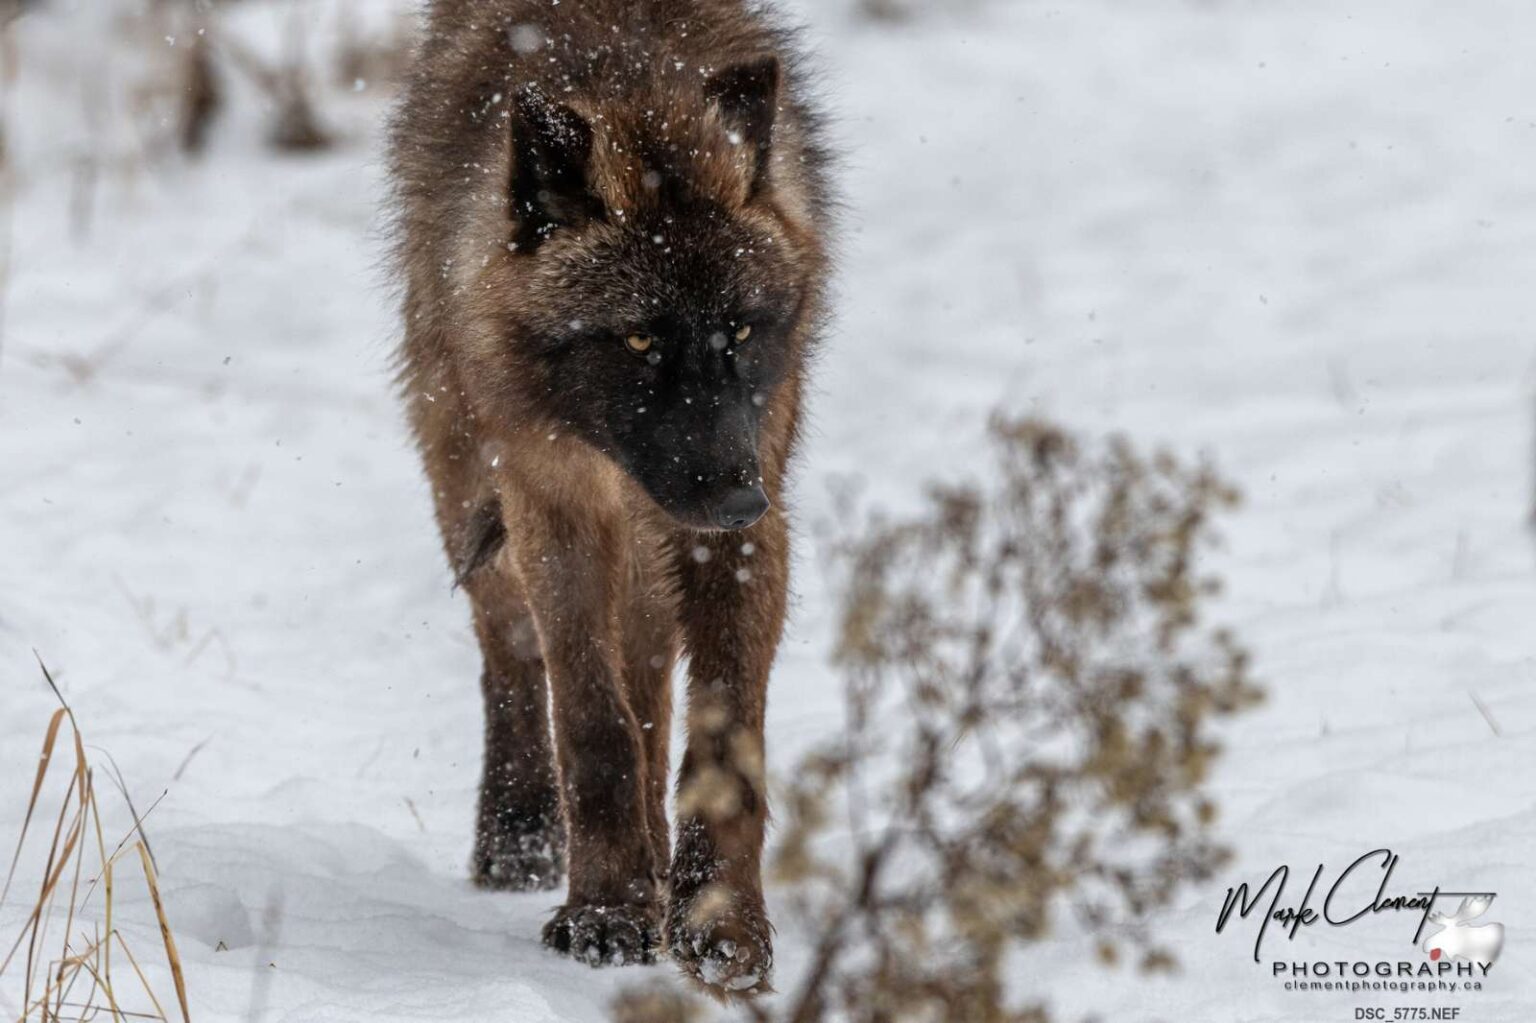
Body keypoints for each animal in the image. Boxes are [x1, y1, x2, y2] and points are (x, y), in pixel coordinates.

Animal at [386, 0, 832, 996]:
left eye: (742, 330)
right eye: (638, 341)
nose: (736, 496)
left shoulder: (746, 523)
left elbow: (722, 738)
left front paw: (720, 928)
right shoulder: (556, 508)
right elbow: (591, 722)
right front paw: (607, 911)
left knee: (651, 686)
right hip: (464, 481)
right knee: (512, 655)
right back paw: (520, 839)